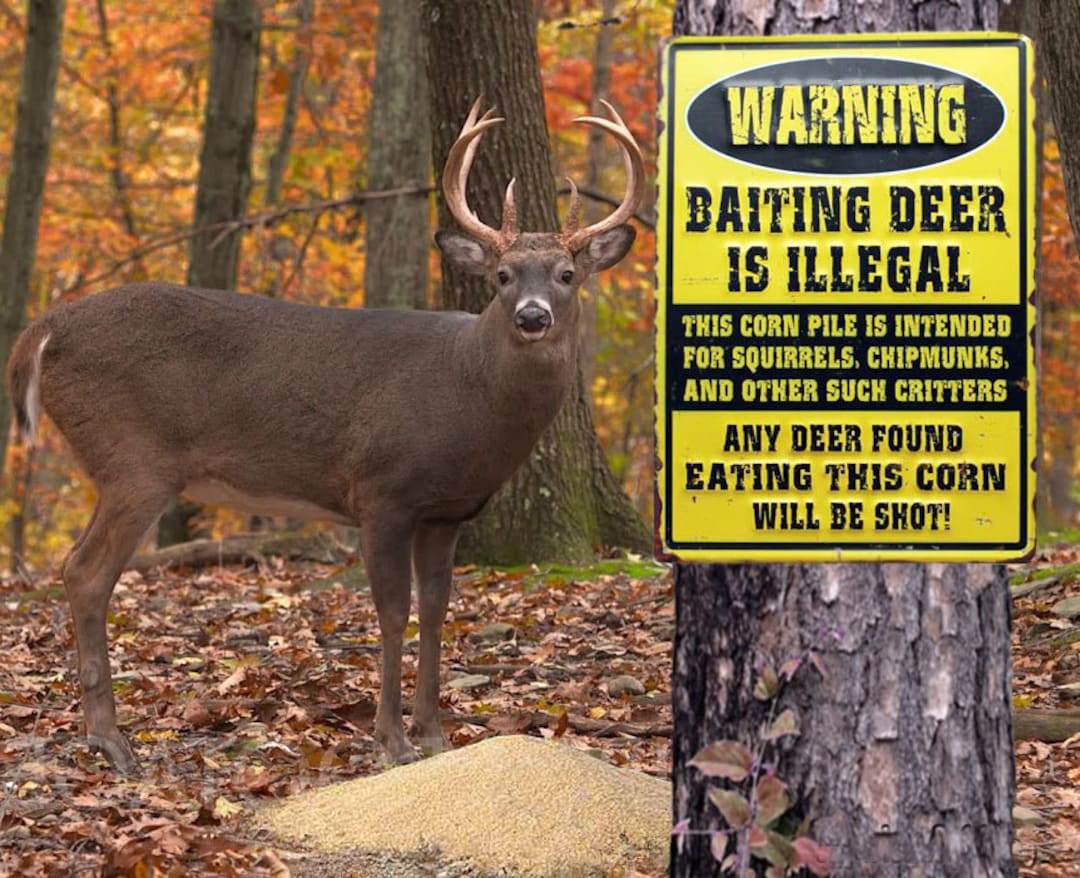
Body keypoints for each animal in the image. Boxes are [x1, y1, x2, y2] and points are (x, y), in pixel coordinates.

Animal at [5, 98, 644, 773]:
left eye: (568, 274)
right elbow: (392, 611)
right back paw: (110, 738)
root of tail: (43, 329)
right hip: (133, 459)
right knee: (84, 570)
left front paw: (435, 734)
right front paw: (392, 739)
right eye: (501, 274)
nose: (532, 316)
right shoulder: (382, 491)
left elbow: (438, 611)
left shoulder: (447, 511)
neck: (468, 391)